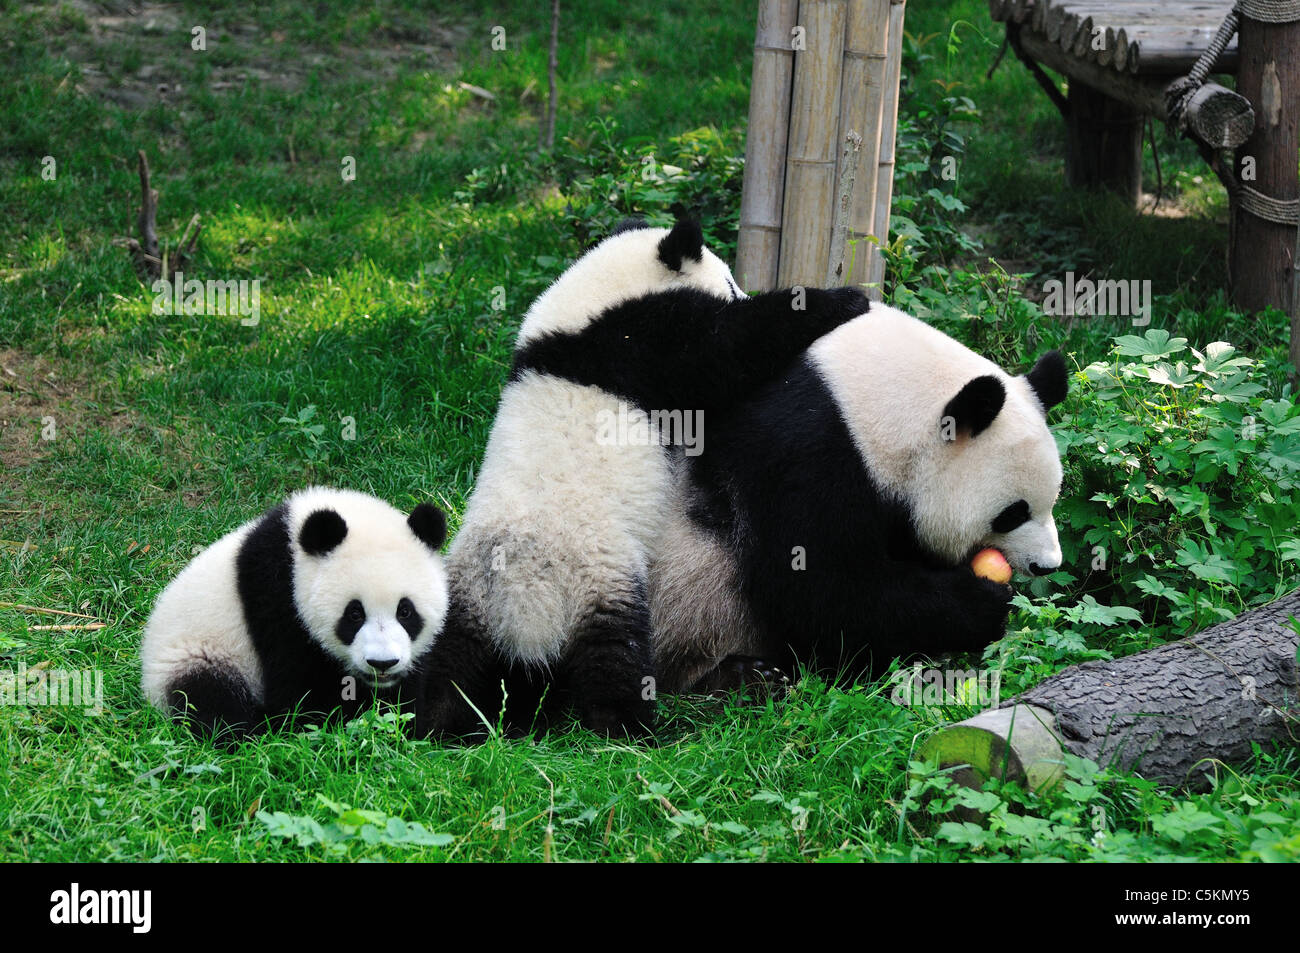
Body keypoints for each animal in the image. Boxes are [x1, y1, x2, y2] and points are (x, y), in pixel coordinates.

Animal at [140, 487, 449, 741]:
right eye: (354, 614)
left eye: (405, 611)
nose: (382, 663)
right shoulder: (275, 597)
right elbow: (296, 686)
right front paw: (318, 726)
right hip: (194, 653)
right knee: (208, 697)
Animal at [426, 216, 869, 738]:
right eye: (730, 282)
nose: (740, 290)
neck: (590, 308)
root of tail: (524, 613)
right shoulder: (648, 343)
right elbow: (731, 348)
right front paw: (842, 300)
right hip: (599, 586)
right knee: (615, 664)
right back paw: (634, 733)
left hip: (465, 601)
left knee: (447, 669)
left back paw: (429, 722)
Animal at [649, 304, 1069, 693]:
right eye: (1013, 513)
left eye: (1053, 500)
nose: (1047, 565)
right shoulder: (800, 454)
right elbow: (826, 593)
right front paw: (984, 604)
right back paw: (742, 678)